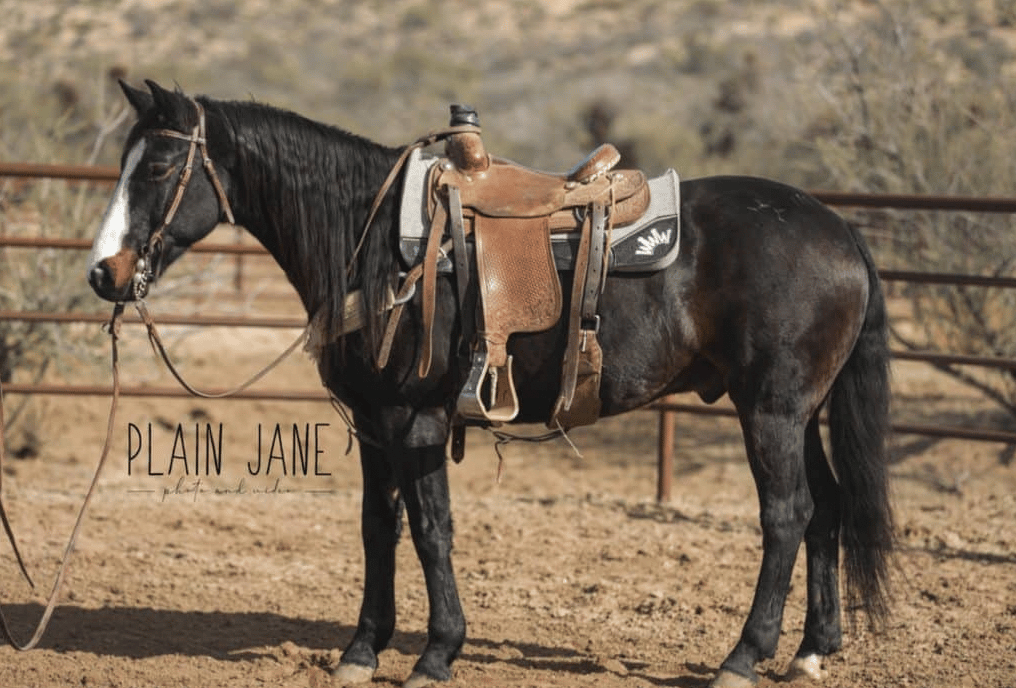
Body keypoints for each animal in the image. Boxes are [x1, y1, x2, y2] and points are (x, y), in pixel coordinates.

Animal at [85, 80, 894, 688]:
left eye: (156, 169)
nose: (104, 273)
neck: (372, 242)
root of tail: (841, 230)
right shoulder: (372, 421)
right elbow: (377, 527)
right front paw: (361, 650)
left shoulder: (415, 419)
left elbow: (431, 528)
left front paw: (437, 652)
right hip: (800, 411)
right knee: (826, 508)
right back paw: (812, 651)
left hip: (771, 411)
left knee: (787, 515)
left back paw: (744, 657)